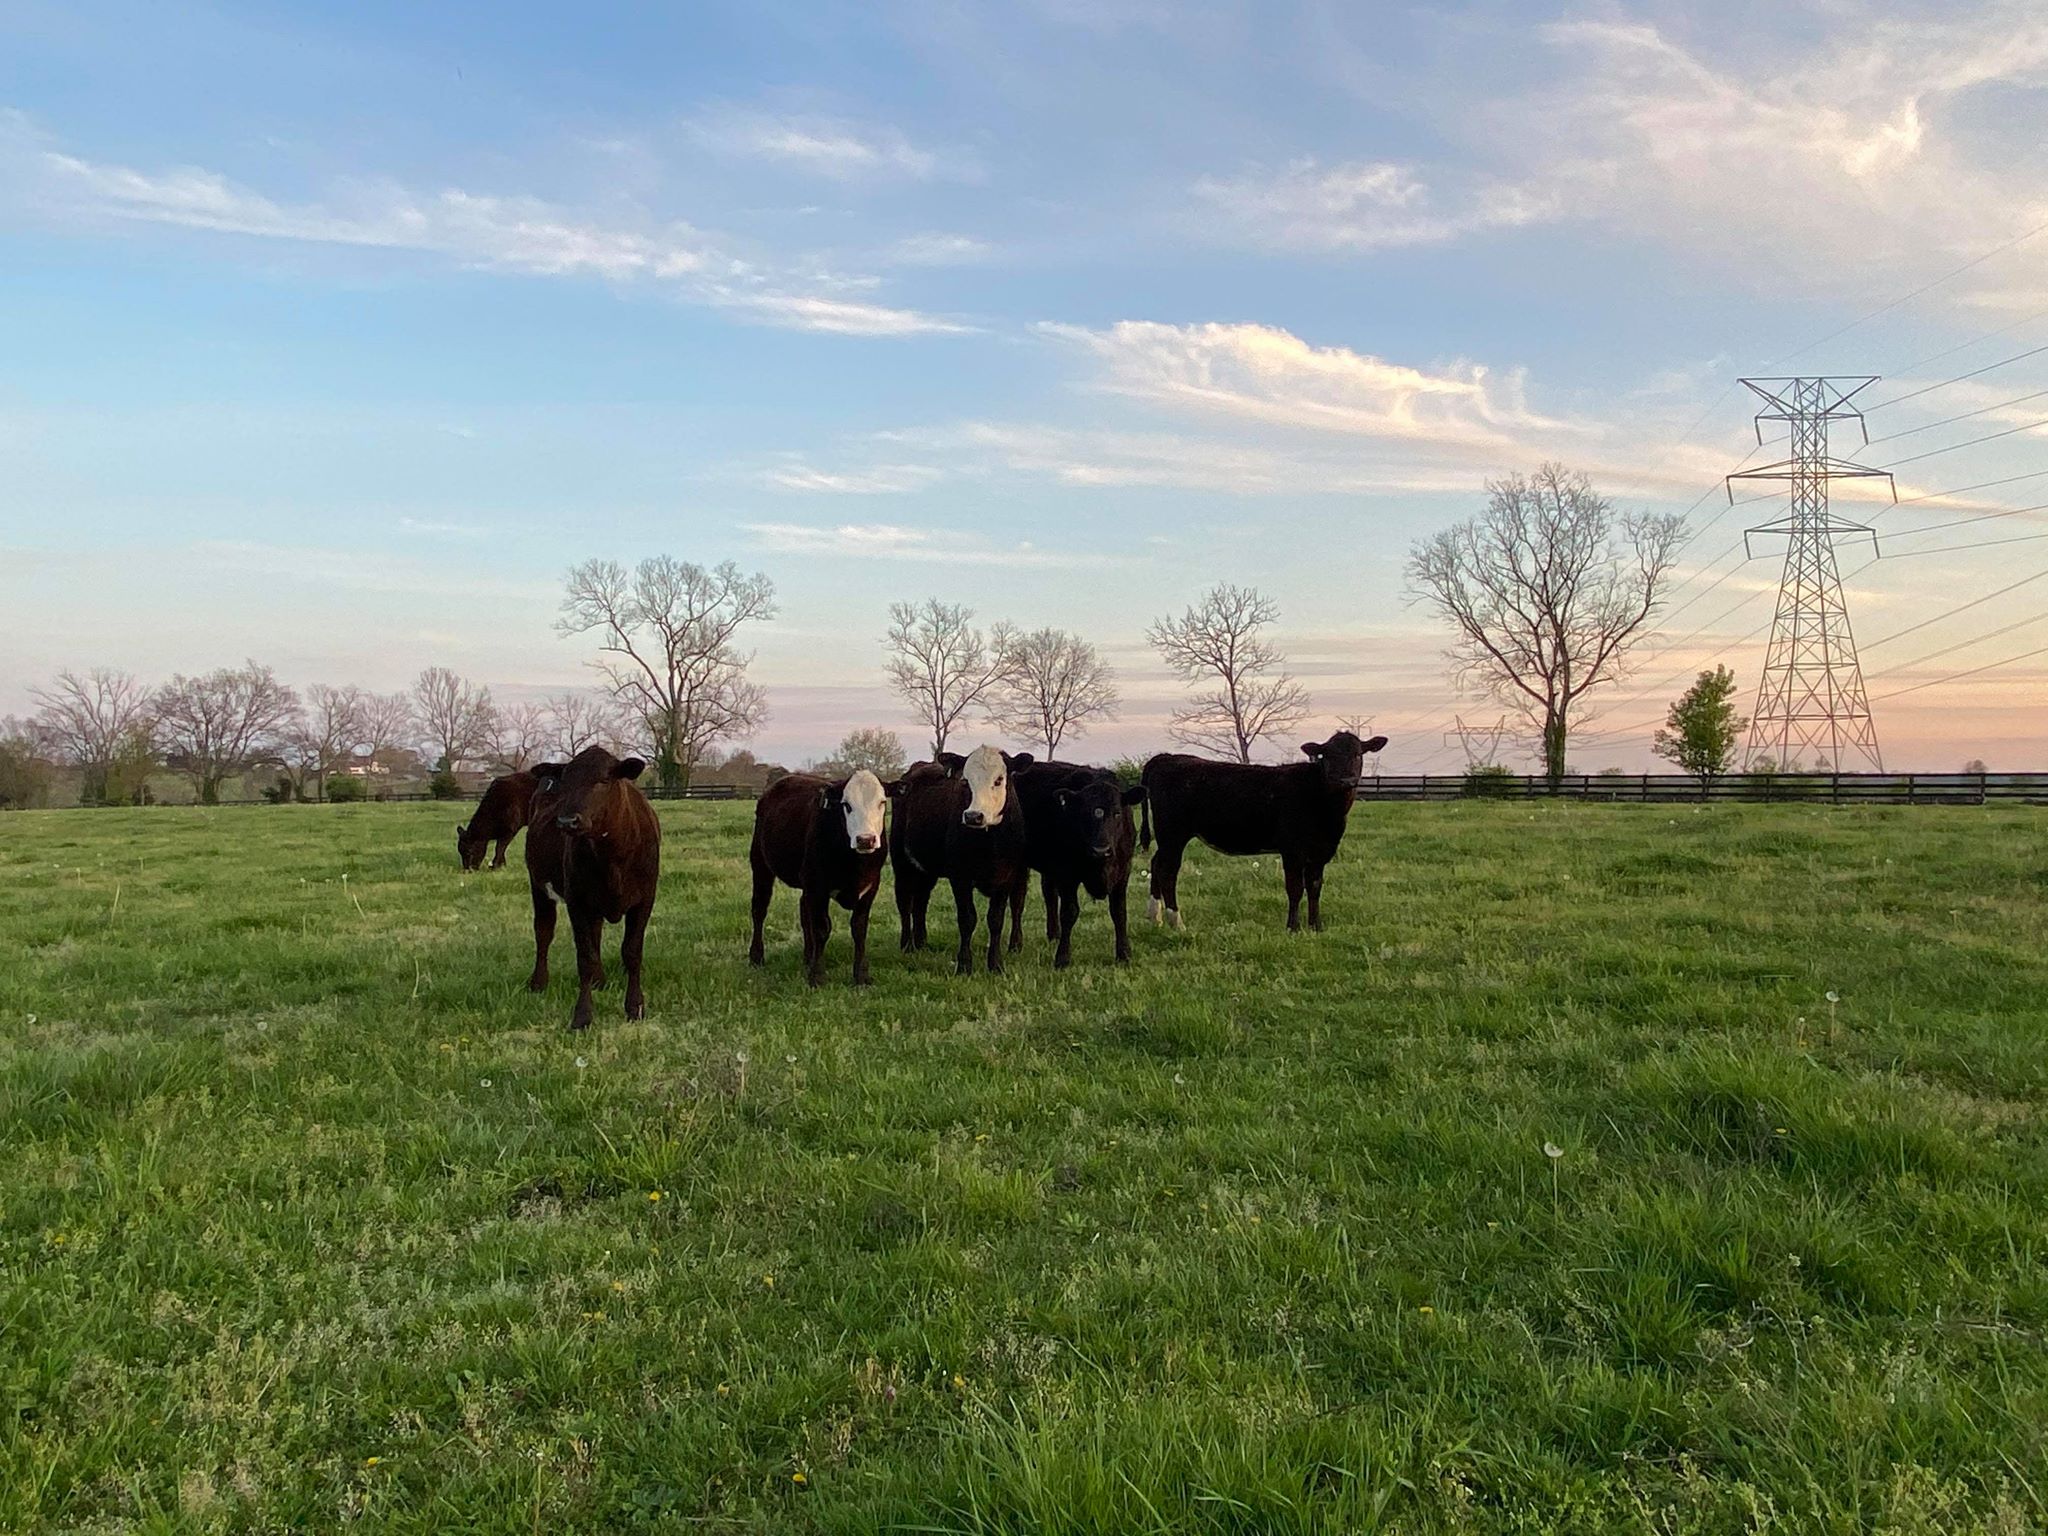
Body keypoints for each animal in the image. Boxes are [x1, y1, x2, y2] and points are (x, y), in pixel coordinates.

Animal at [522, 746, 661, 1030]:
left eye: (603, 780)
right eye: (566, 782)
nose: (567, 821)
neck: (612, 857)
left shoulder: (645, 899)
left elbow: (632, 952)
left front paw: (635, 1007)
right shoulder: (577, 900)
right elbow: (584, 956)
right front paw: (582, 1015)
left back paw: (599, 980)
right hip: (539, 886)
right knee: (543, 931)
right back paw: (539, 982)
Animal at [749, 768, 906, 986]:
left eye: (882, 802)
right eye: (846, 805)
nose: (865, 839)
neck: (854, 863)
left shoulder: (871, 886)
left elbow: (859, 929)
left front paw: (861, 976)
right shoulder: (818, 886)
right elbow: (822, 928)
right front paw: (817, 976)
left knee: (803, 909)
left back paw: (808, 956)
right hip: (761, 865)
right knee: (759, 909)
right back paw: (756, 956)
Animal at [889, 745, 1033, 974]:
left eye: (999, 780)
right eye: (965, 781)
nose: (974, 816)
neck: (989, 843)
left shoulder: (1005, 877)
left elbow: (996, 920)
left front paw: (996, 964)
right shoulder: (960, 877)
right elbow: (967, 919)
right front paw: (964, 965)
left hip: (926, 870)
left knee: (920, 902)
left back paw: (922, 943)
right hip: (901, 862)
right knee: (905, 902)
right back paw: (908, 946)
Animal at [1007, 760, 1148, 967]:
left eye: (1117, 813)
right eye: (1084, 813)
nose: (1101, 850)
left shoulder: (1123, 872)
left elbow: (1119, 912)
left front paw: (1124, 954)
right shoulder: (1067, 874)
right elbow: (1069, 912)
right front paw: (1063, 958)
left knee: (1049, 893)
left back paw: (1054, 934)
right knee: (1017, 901)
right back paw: (1015, 944)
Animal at [1140, 729, 1389, 933]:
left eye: (1358, 754)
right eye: (1326, 756)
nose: (1345, 780)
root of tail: (1168, 757)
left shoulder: (1321, 851)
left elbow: (1314, 888)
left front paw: (1316, 927)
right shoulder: (1292, 850)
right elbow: (1295, 888)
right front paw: (1293, 928)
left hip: (1167, 837)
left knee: (1156, 864)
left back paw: (1155, 917)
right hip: (1173, 833)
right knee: (1168, 871)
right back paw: (1176, 922)